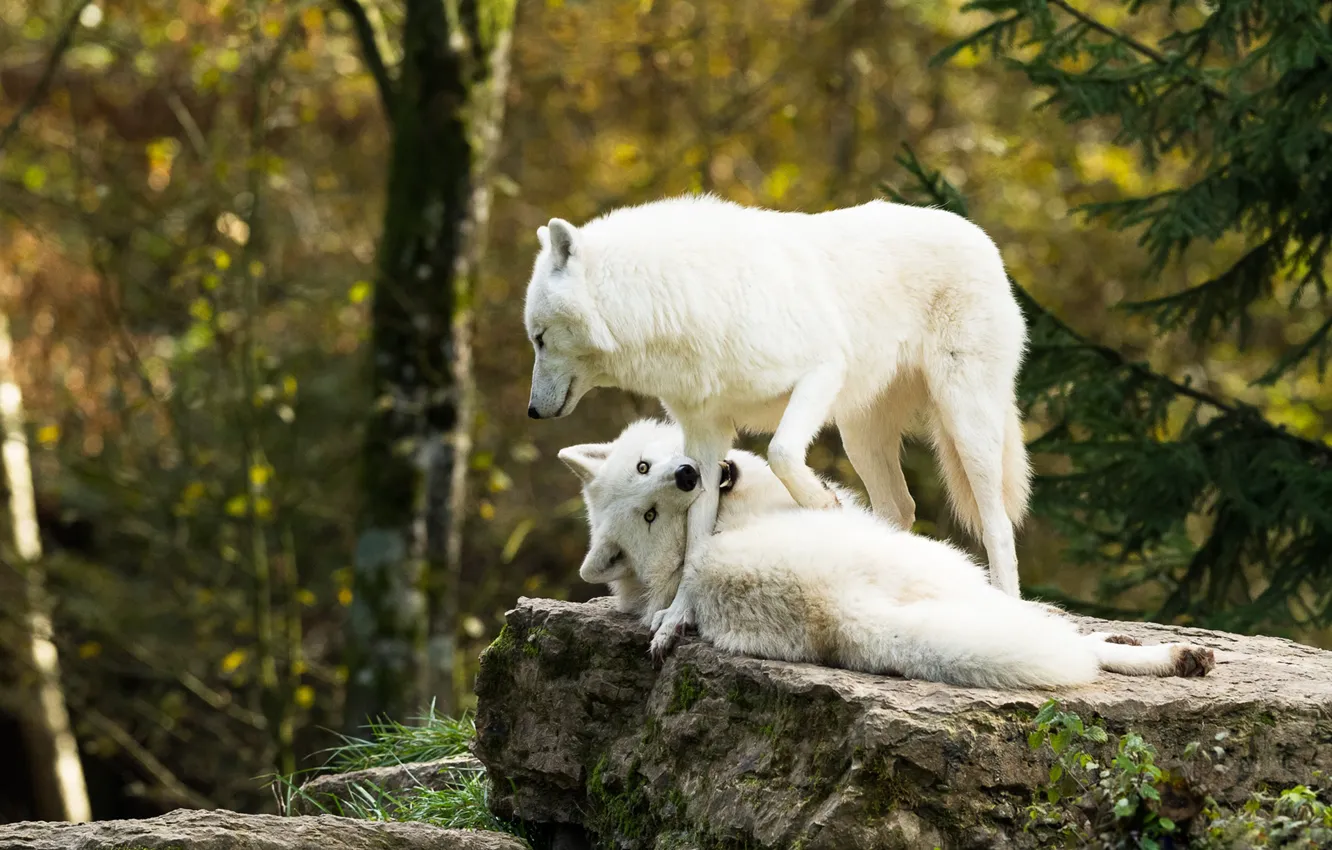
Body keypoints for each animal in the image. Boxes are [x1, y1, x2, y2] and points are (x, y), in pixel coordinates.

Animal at [523, 194, 1031, 654]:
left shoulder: (821, 371)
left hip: (966, 423)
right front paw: (676, 618)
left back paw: (1006, 603)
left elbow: (782, 451)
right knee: (901, 508)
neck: (684, 303)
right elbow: (697, 544)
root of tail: (974, 232)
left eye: (540, 338)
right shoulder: (704, 437)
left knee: (997, 525)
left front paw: (822, 503)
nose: (531, 412)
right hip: (860, 435)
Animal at [558, 420, 1215, 688]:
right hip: (942, 561)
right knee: (1068, 643)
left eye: (645, 468)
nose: (690, 476)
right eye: (652, 513)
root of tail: (837, 615)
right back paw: (1176, 655)